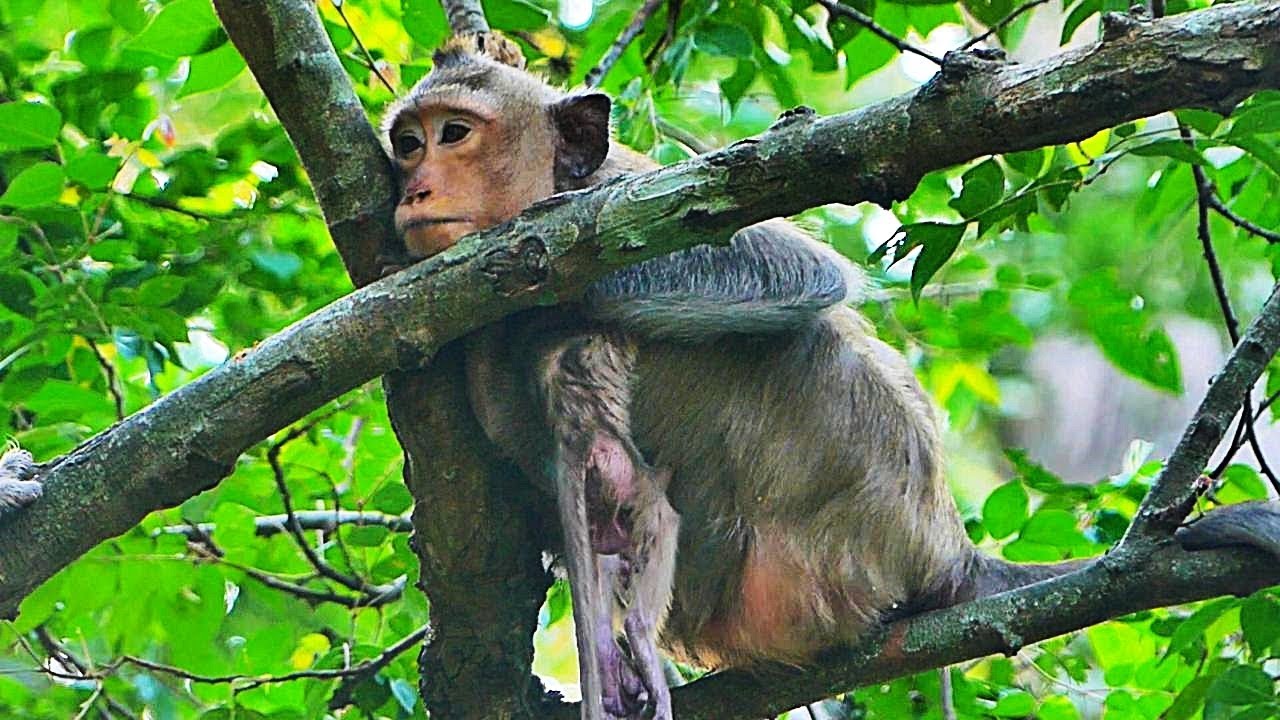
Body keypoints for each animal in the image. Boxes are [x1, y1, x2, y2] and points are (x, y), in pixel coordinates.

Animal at [381, 33, 1280, 720]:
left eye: (456, 133)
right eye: (409, 141)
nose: (416, 188)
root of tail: (950, 555)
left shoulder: (621, 194)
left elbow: (795, 275)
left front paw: (532, 271)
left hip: (837, 543)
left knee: (803, 340)